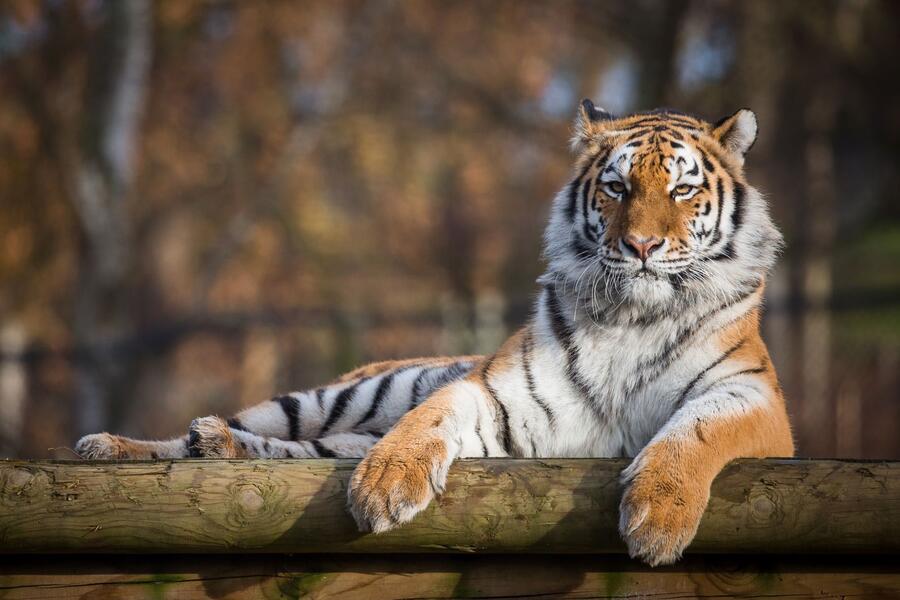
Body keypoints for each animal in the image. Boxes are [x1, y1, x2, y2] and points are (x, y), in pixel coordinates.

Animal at [76, 100, 794, 566]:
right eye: (616, 188)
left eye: (681, 191)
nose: (642, 246)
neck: (631, 316)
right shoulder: (500, 391)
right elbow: (432, 415)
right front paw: (385, 484)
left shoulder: (751, 397)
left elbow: (695, 432)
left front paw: (657, 520)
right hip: (339, 396)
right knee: (252, 426)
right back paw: (117, 446)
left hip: (334, 430)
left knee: (296, 451)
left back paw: (213, 446)